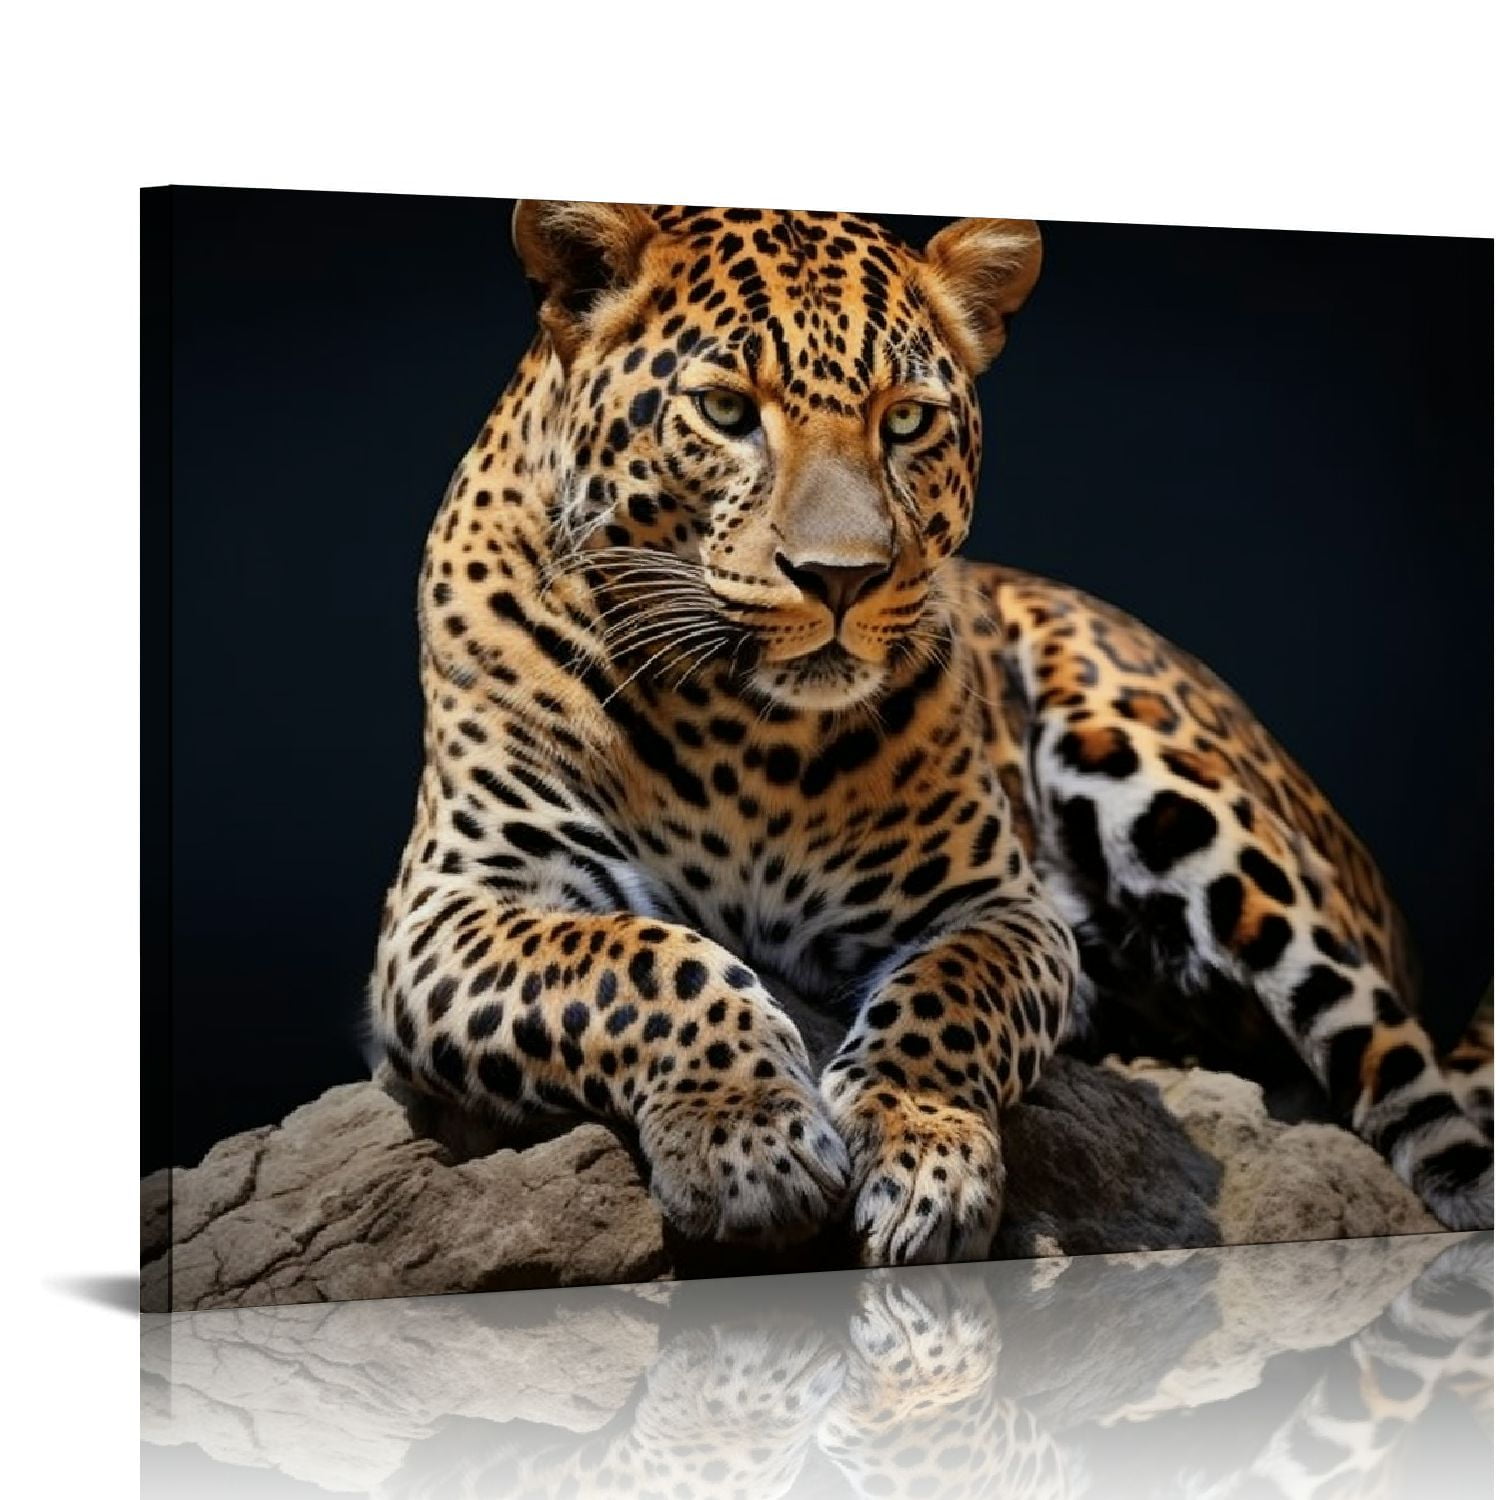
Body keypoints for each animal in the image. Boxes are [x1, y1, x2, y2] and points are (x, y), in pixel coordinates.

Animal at [368, 200, 1493, 1268]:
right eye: (726, 411)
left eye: (906, 420)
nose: (841, 578)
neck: (739, 728)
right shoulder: (453, 907)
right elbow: (641, 961)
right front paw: (747, 1144)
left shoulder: (999, 908)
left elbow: (945, 999)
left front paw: (921, 1155)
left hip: (1184, 794)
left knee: (1412, 1087)